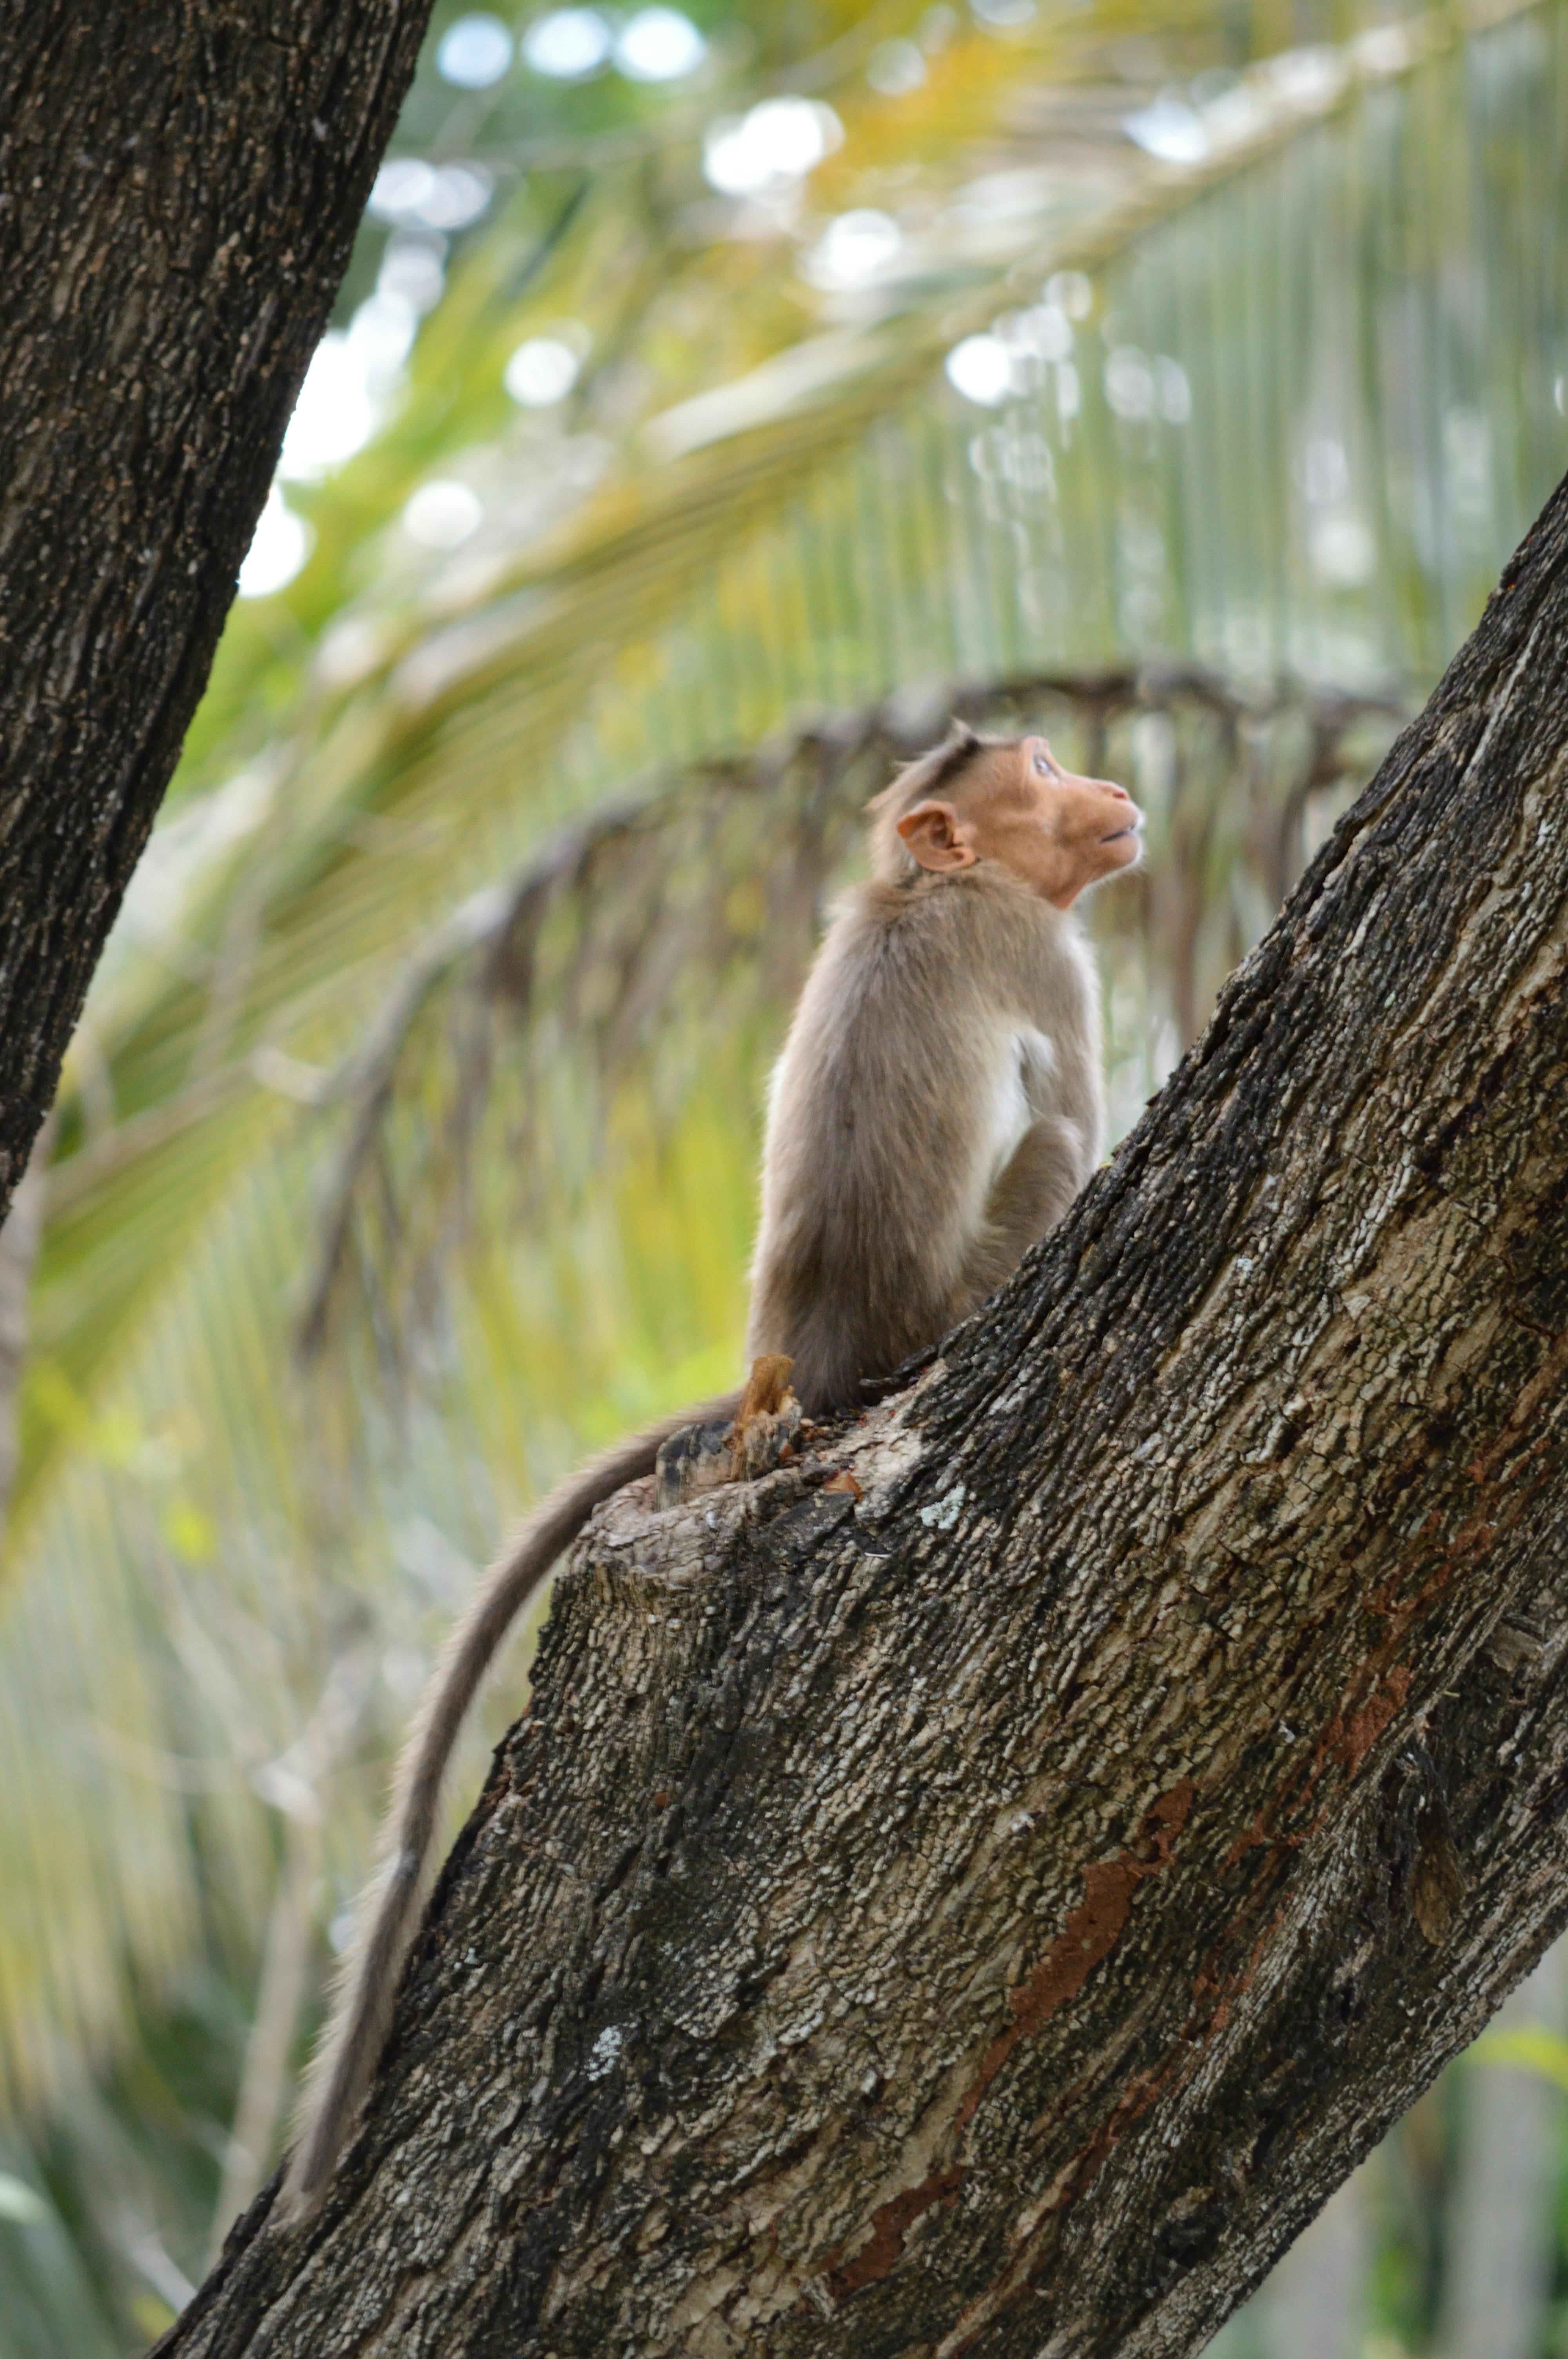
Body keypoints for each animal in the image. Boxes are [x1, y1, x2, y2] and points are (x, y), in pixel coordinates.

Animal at [284, 722, 1141, 2211]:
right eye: (1040, 767)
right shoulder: (1044, 958)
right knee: (1048, 1141)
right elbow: (1079, 1104)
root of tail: (823, 1357)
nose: (1106, 785)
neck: (927, 890)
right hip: (979, 1266)